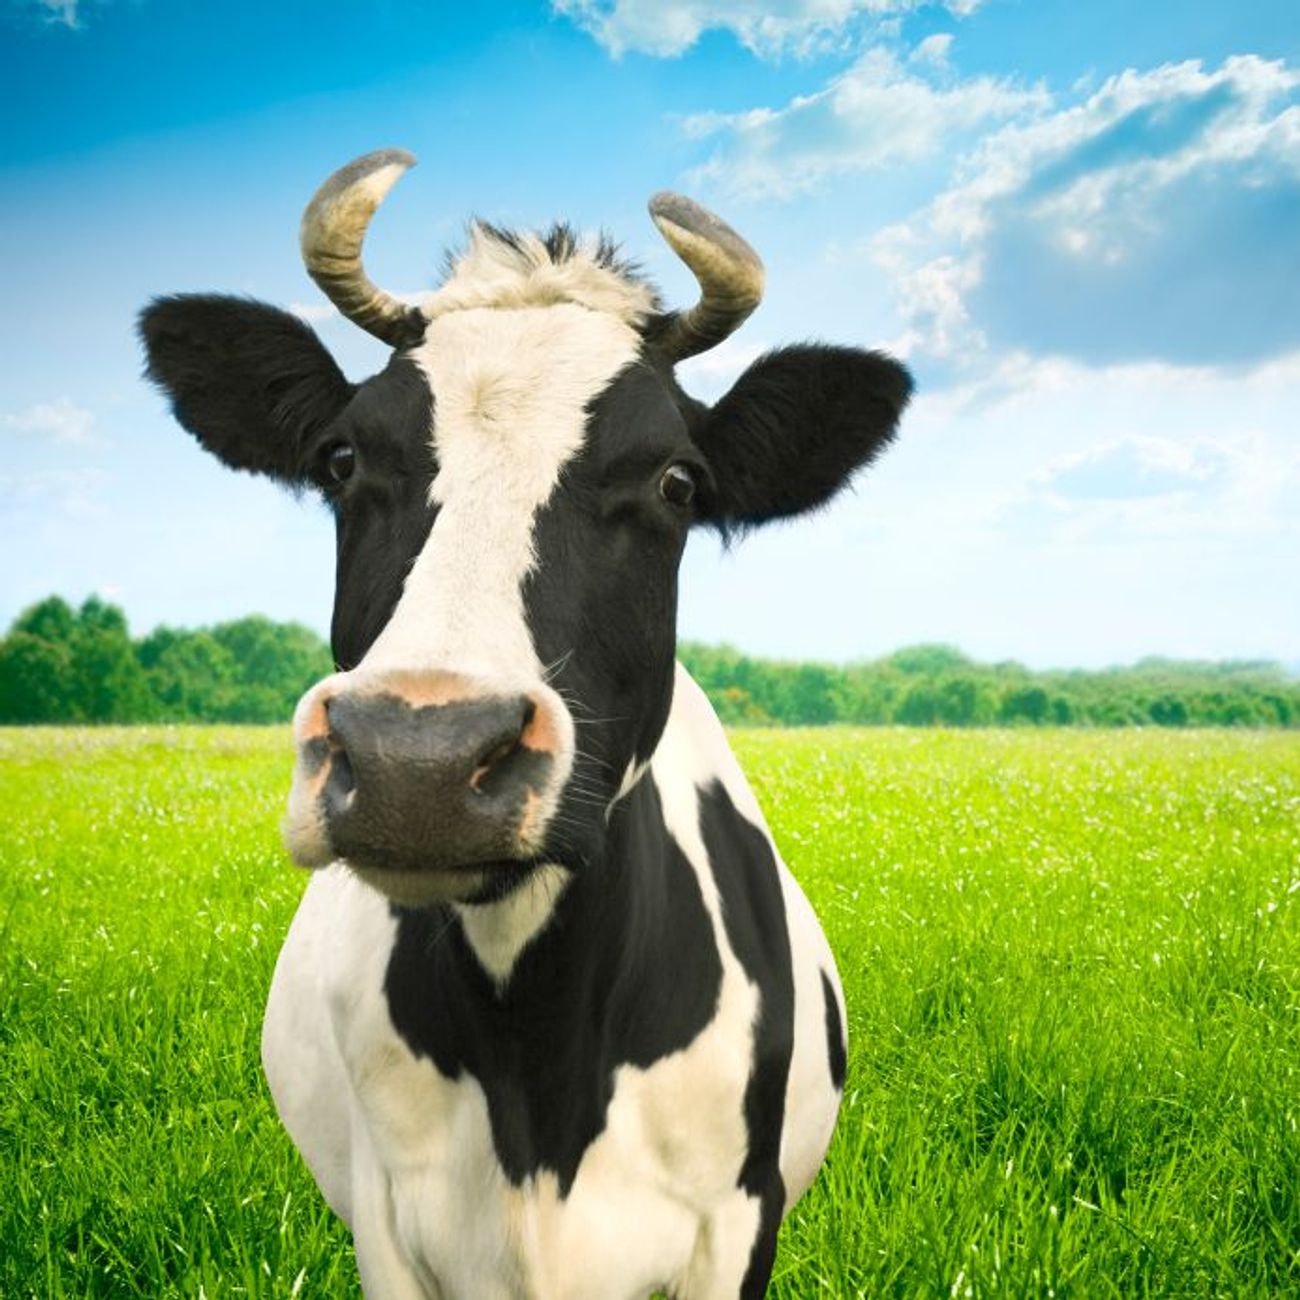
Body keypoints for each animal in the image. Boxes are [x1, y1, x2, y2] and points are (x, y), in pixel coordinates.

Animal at [139, 148, 910, 1299]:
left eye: (676, 482)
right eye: (340, 459)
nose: (419, 756)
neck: (538, 1058)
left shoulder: (740, 1218)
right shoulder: (389, 1229)